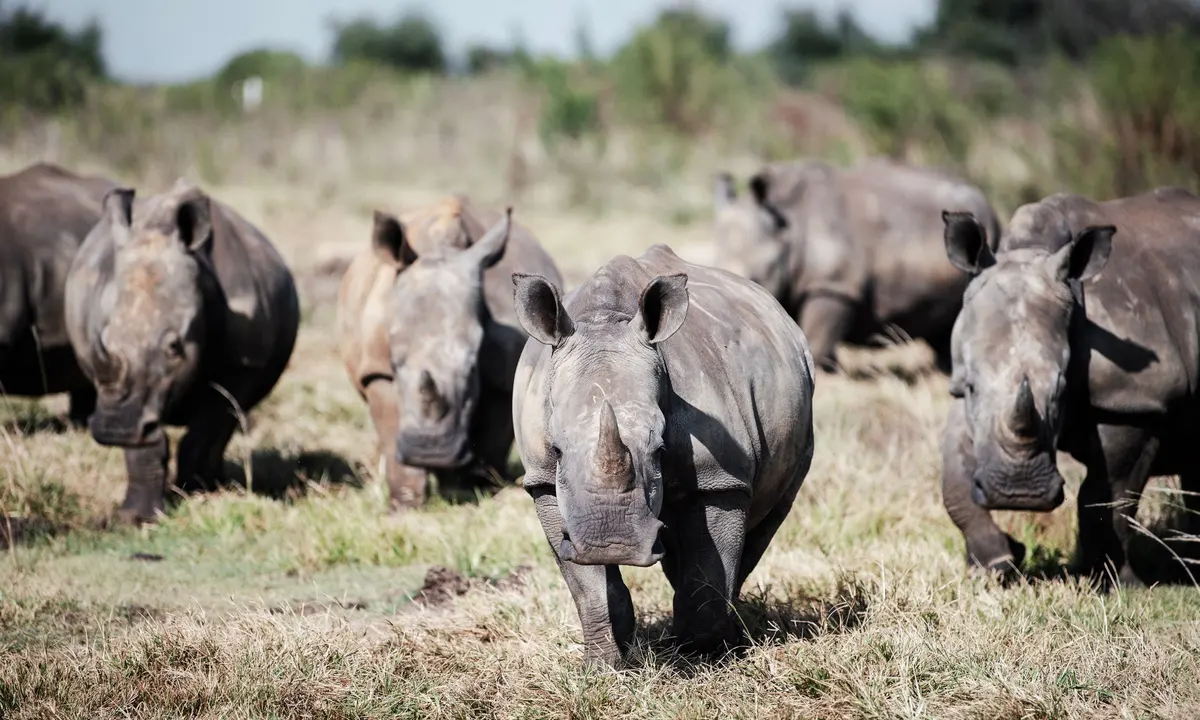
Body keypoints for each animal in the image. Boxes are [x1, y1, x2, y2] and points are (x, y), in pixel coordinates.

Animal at [65, 180, 300, 523]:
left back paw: (212, 483)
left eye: (175, 348)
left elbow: (205, 430)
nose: (114, 429)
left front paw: (196, 496)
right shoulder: (125, 394)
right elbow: (145, 442)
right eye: (104, 341)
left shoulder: (242, 365)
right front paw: (134, 518)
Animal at [337, 196, 563, 509]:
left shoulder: (503, 374)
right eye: (395, 362)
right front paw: (405, 505)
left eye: (472, 367)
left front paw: (474, 490)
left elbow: (493, 436)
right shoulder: (376, 368)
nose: (431, 450)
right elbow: (391, 428)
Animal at [512, 243, 816, 667]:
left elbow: (708, 572)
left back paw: (729, 637)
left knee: (767, 520)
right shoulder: (542, 480)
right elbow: (589, 585)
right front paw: (604, 665)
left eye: (659, 448)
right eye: (556, 449)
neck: (605, 317)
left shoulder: (718, 479)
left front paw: (702, 660)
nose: (613, 544)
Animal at [713, 158, 1001, 372]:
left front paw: (825, 370)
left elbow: (818, 335)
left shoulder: (834, 285)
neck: (788, 224)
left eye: (760, 276)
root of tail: (990, 205)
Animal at [940, 187, 1200, 586]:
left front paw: (1116, 584)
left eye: (1062, 389)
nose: (1018, 493)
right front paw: (997, 563)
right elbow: (953, 478)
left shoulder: (1134, 401)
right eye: (971, 387)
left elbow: (1108, 497)